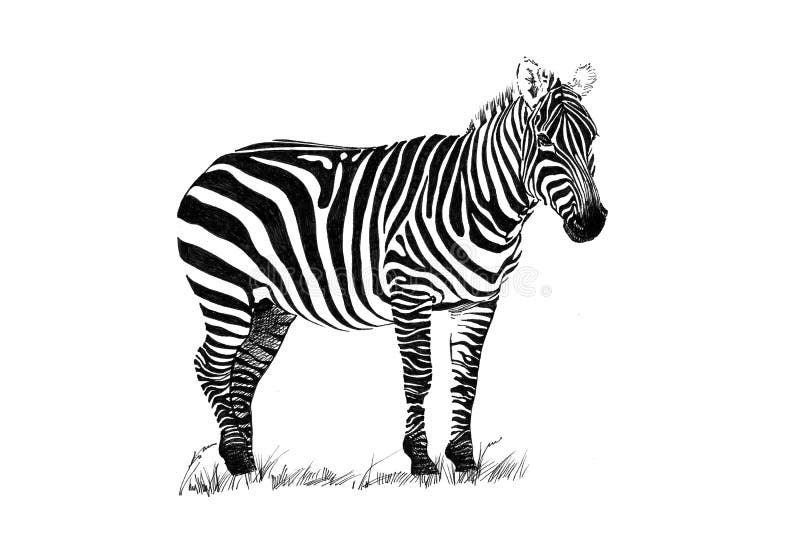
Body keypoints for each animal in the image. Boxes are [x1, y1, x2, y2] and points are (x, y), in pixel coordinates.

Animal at [177, 57, 607, 475]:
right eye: (545, 141)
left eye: (593, 138)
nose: (592, 223)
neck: (477, 201)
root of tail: (217, 164)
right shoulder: (410, 295)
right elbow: (419, 377)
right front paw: (421, 459)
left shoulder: (480, 302)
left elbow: (466, 378)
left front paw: (464, 460)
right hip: (224, 291)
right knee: (210, 365)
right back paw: (235, 455)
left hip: (271, 304)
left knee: (245, 370)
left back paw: (247, 462)